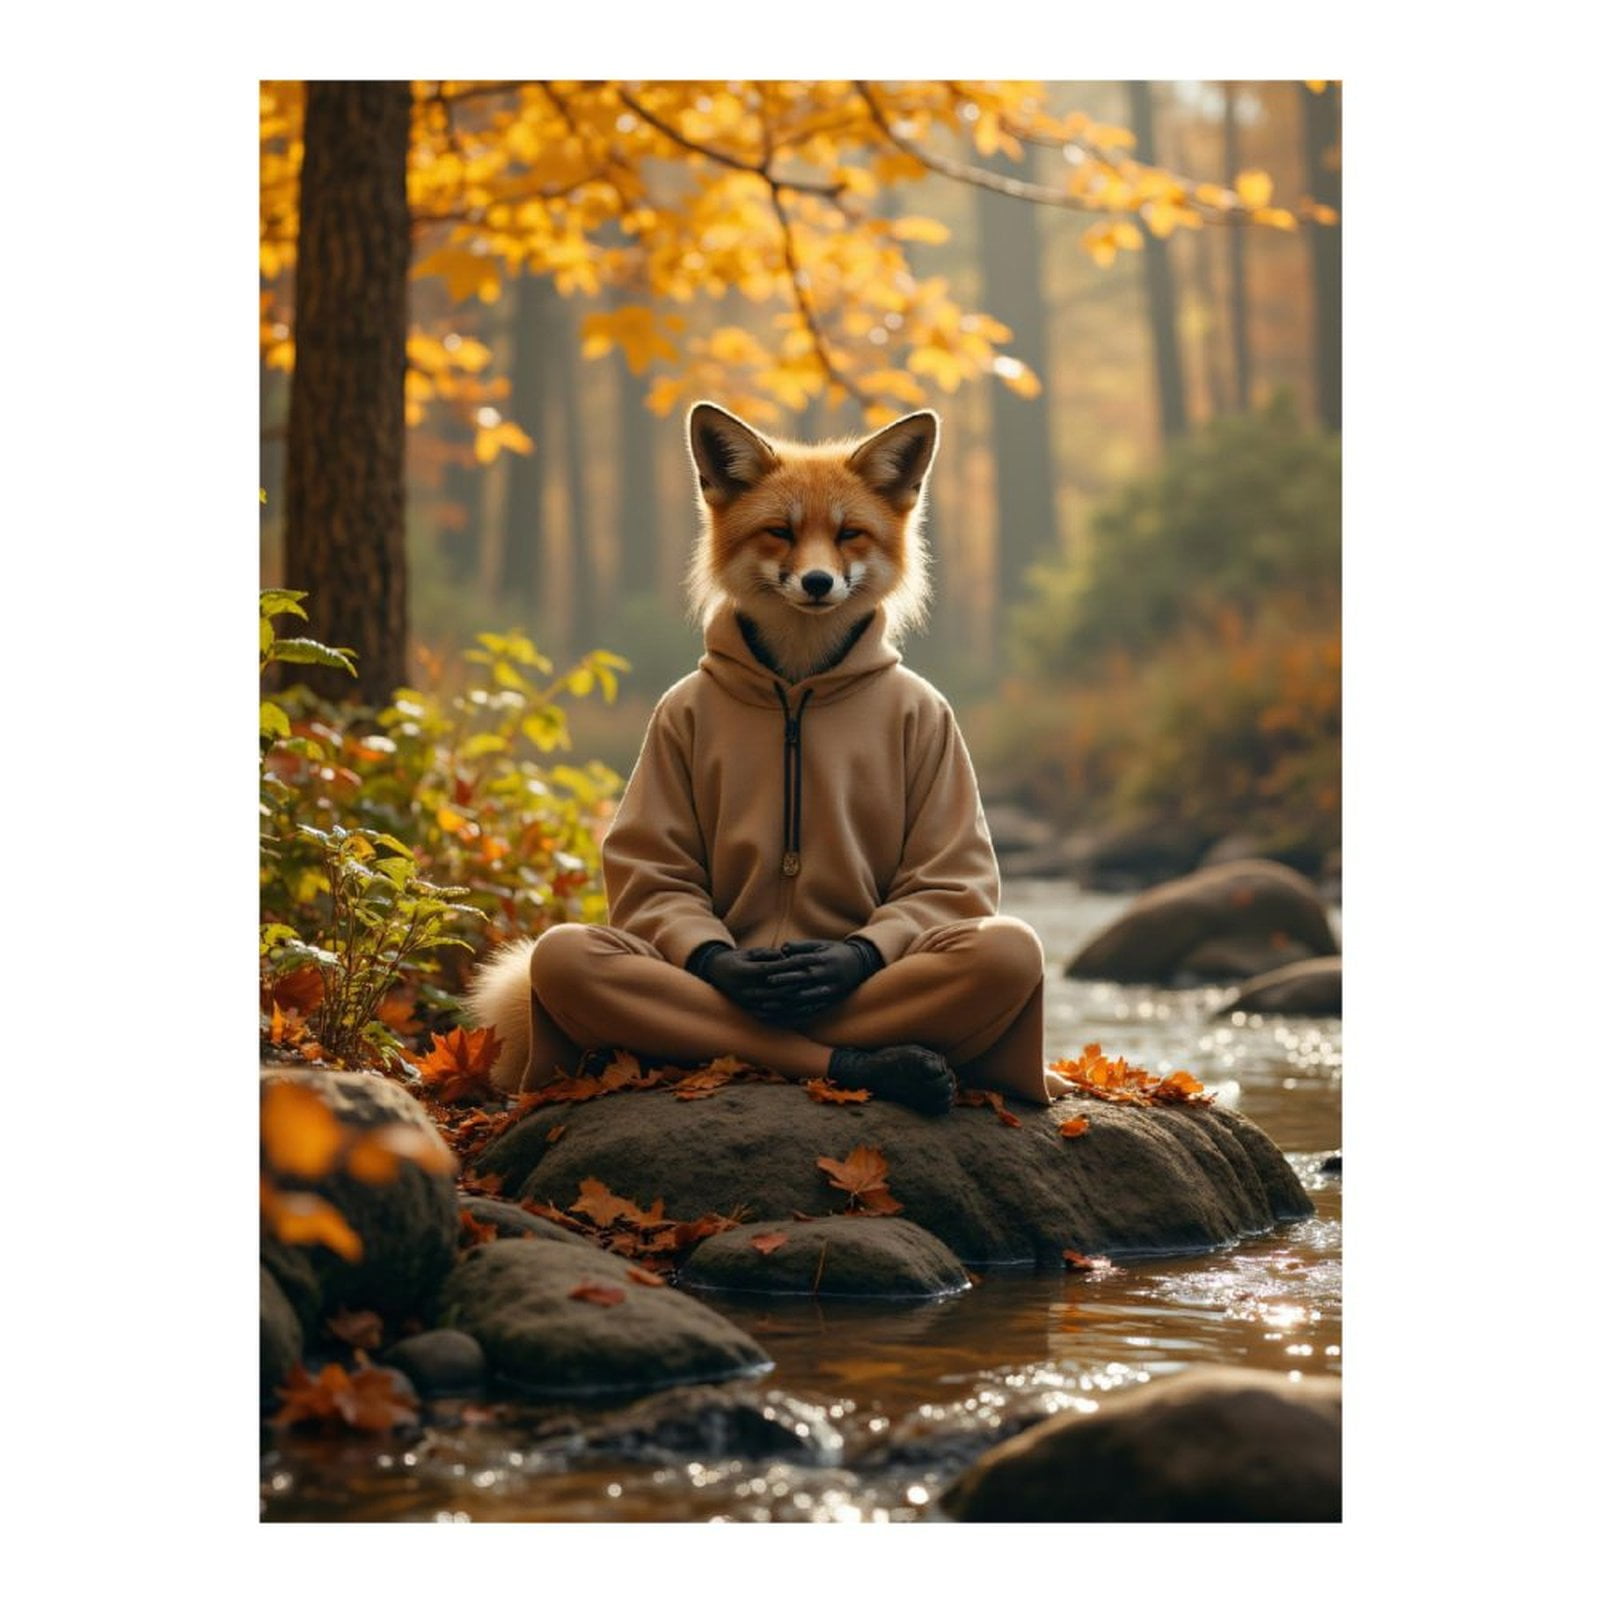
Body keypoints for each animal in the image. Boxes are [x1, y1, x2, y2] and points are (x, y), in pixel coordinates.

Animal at [467, 401, 1053, 1112]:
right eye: (781, 532)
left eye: (849, 534)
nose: (818, 581)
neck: (797, 692)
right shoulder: (666, 732)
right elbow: (655, 871)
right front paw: (737, 970)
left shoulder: (939, 739)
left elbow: (947, 878)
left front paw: (839, 963)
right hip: (585, 963)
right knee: (640, 987)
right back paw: (877, 1065)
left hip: (986, 956)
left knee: (996, 953)